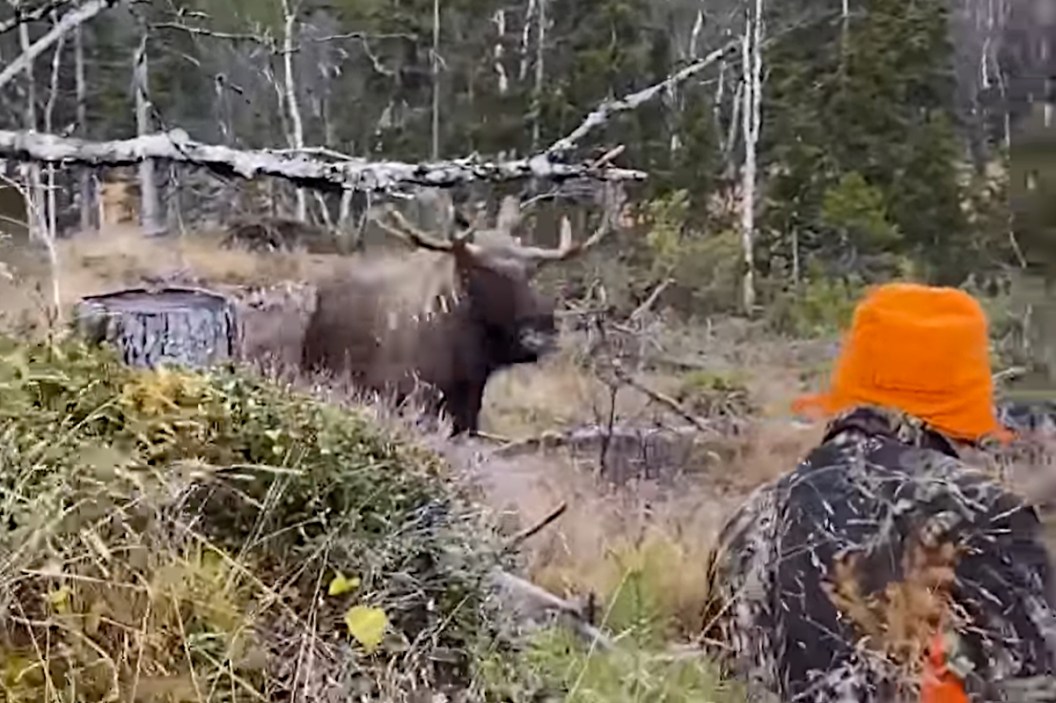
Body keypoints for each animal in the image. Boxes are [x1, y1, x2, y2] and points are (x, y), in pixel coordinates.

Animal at [301, 193, 614, 435]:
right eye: (474, 274)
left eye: (530, 272)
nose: (539, 335)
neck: (464, 366)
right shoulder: (405, 393)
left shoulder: (467, 409)